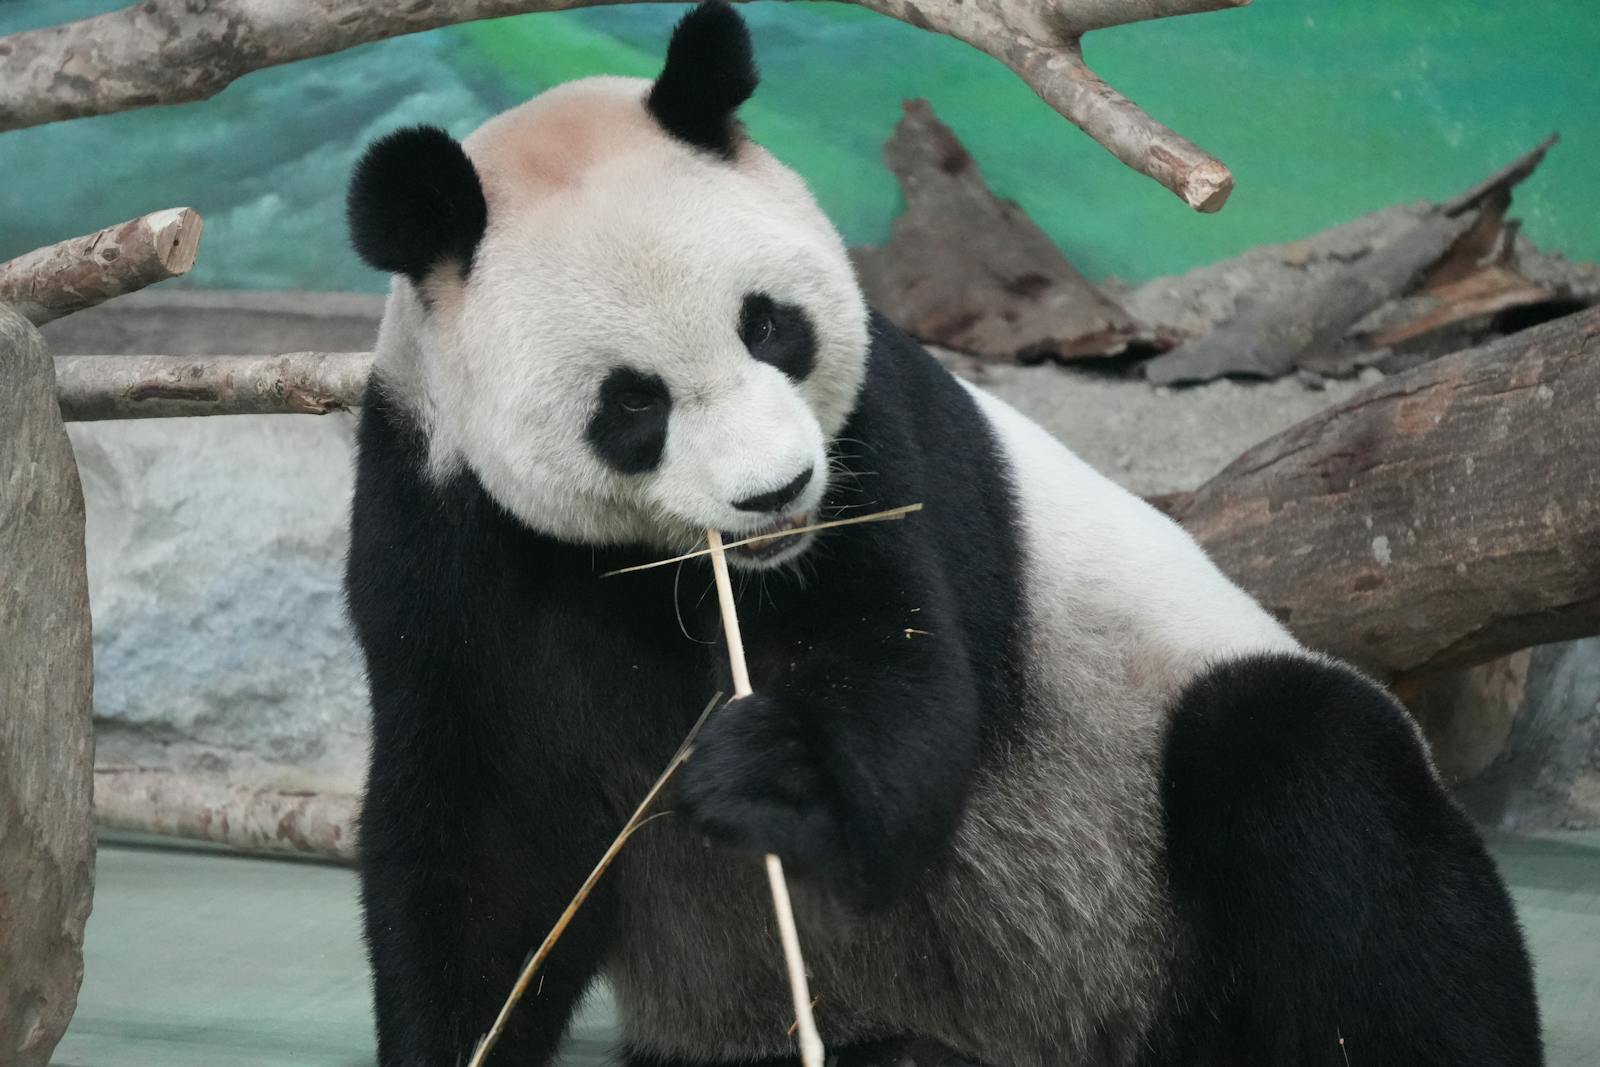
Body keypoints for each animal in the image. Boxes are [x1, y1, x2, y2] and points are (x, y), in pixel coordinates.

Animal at [343, 4, 1542, 1065]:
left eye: (769, 325)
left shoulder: (884, 445)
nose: (776, 493)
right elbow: (481, 845)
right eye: (632, 402)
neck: (666, 577)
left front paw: (763, 768)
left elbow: (902, 689)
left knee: (1328, 795)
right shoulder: (442, 531)